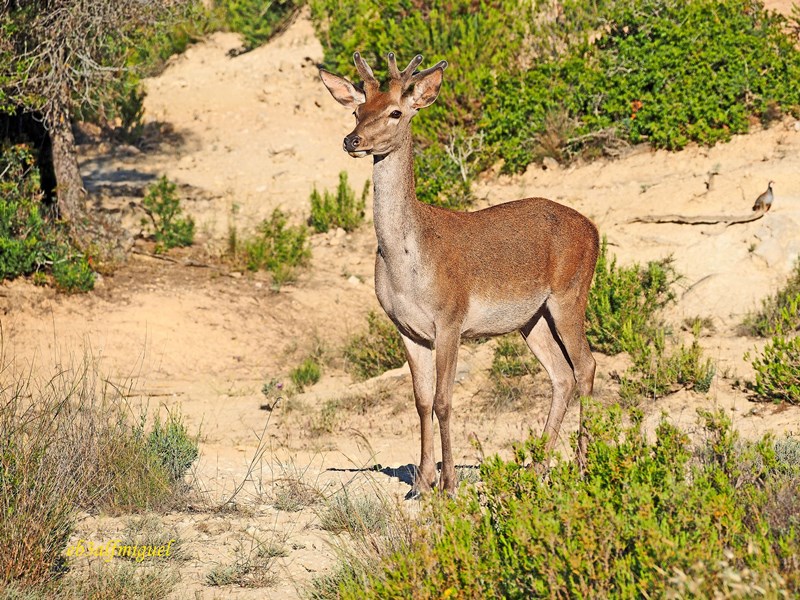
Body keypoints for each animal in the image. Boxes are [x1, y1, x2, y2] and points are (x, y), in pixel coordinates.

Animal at [320, 52, 600, 495]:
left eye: (396, 111)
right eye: (357, 110)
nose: (353, 141)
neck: (406, 263)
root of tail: (594, 230)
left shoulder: (451, 319)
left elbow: (443, 402)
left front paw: (448, 484)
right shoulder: (407, 328)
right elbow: (420, 402)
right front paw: (420, 483)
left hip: (570, 294)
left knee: (586, 365)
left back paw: (582, 468)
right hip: (531, 318)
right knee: (561, 375)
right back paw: (537, 469)